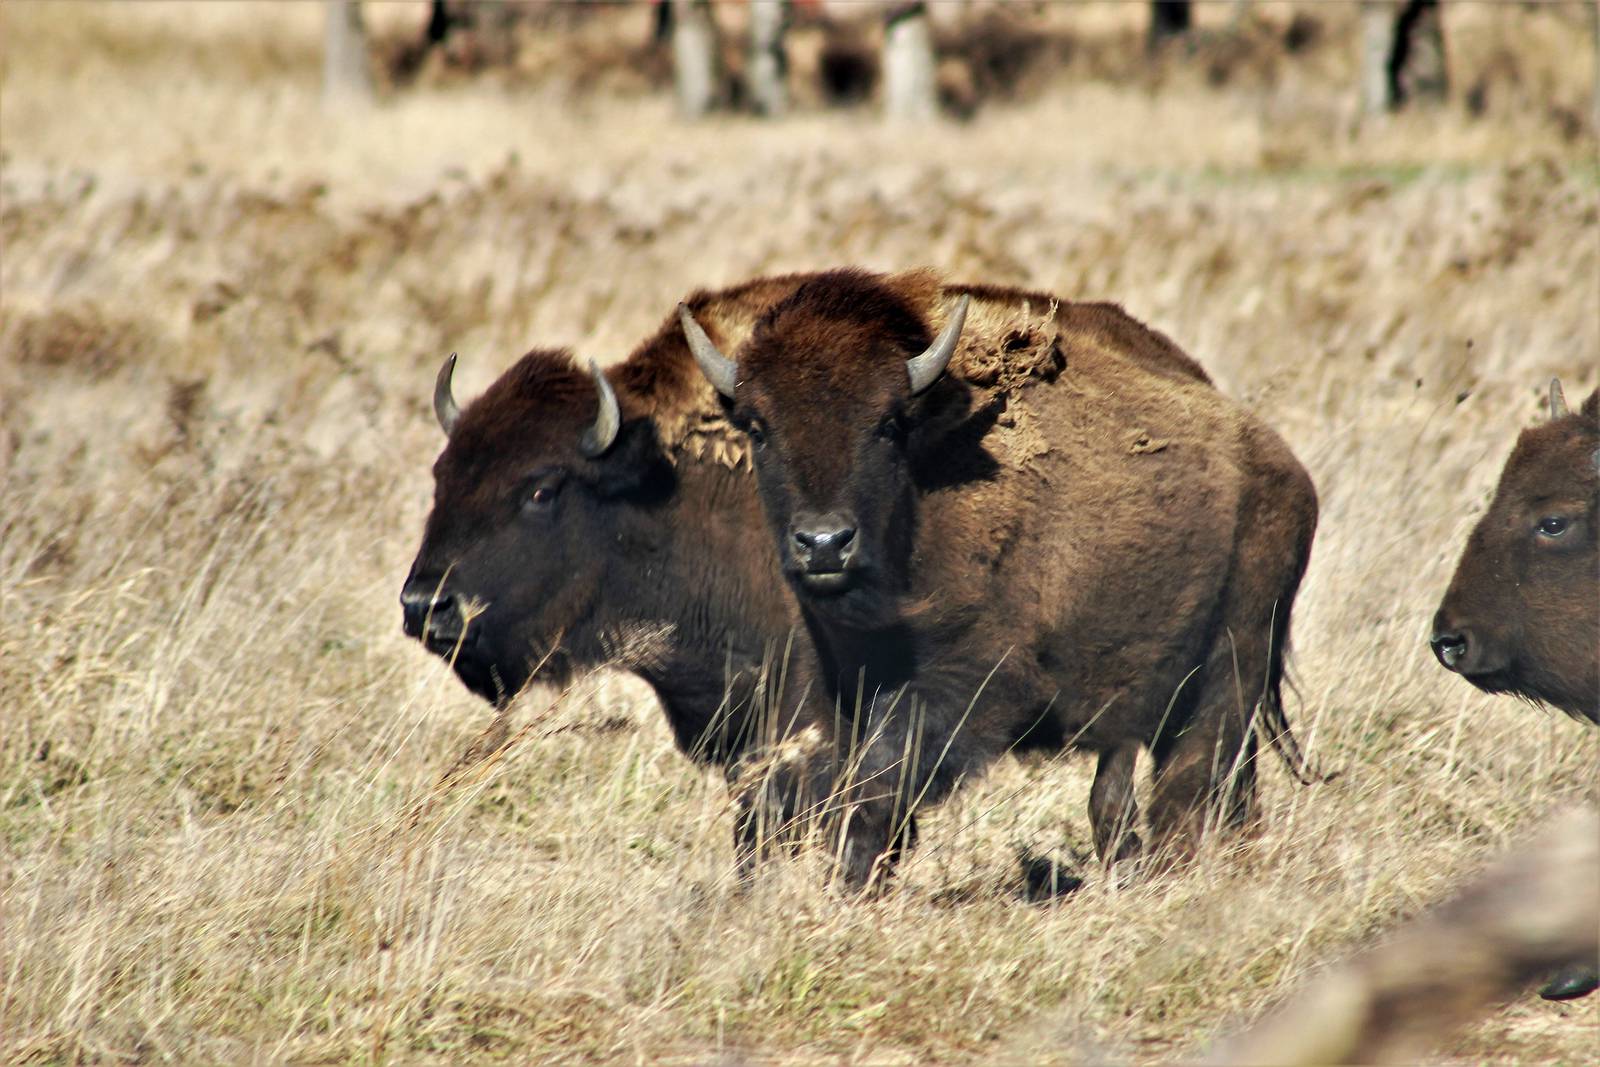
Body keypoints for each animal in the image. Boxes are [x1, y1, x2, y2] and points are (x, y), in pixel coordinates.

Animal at [682, 268, 1319, 889]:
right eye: (758, 427)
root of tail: (1289, 471)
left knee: (1192, 776)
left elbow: (878, 784)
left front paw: (849, 885)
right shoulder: (830, 678)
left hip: (1233, 659)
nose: (823, 544)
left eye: (887, 423)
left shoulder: (959, 681)